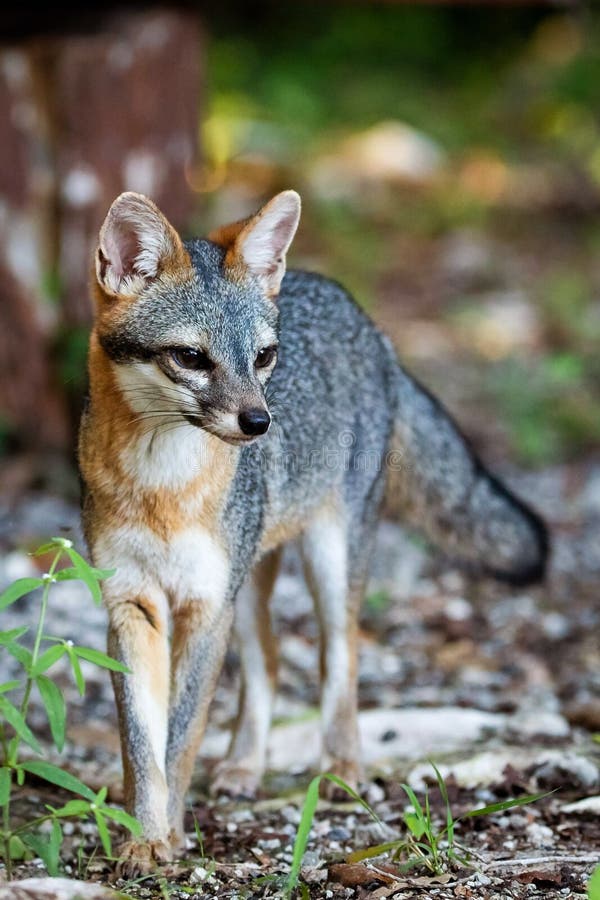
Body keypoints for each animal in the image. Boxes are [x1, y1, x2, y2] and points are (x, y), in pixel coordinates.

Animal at [78, 189, 548, 875]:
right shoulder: (132, 605)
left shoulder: (205, 606)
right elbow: (143, 745)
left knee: (340, 661)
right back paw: (245, 766)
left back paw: (341, 768)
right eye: (191, 358)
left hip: (325, 564)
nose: (259, 422)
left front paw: (170, 836)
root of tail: (369, 325)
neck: (161, 490)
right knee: (269, 665)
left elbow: (181, 737)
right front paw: (145, 836)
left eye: (263, 357)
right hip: (248, 588)